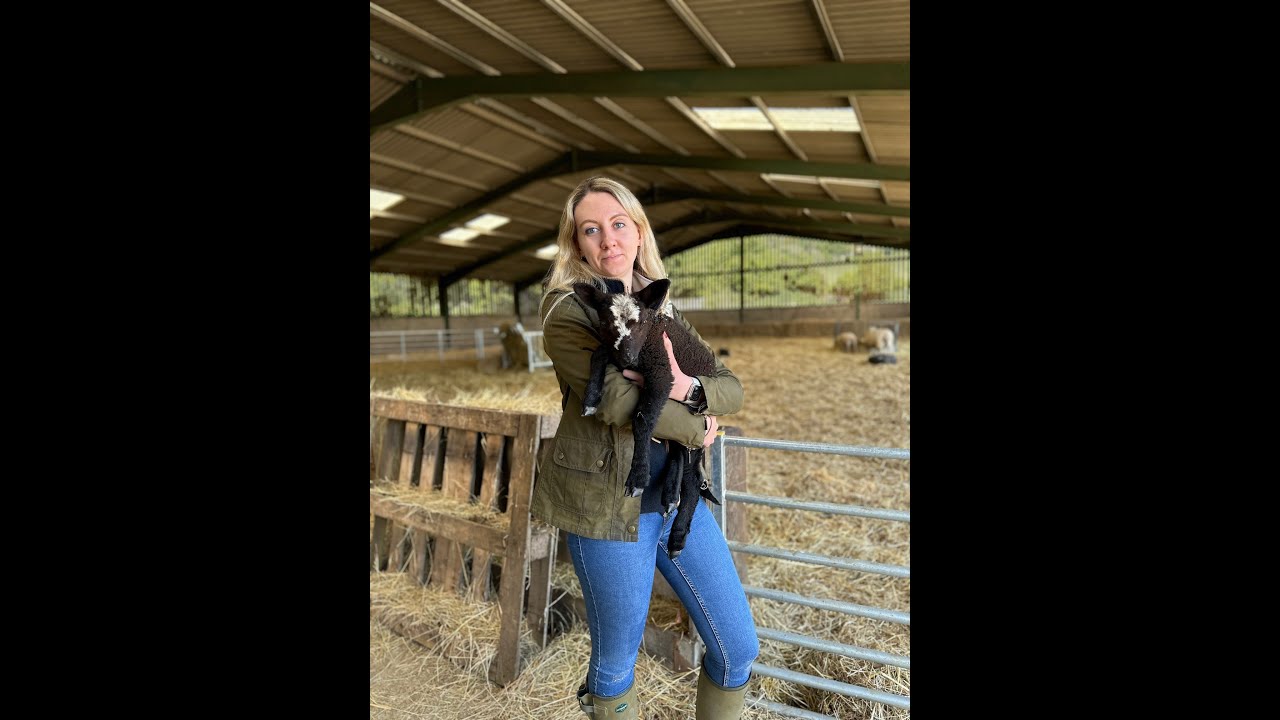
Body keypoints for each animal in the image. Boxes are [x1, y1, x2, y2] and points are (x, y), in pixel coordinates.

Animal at [572, 279, 721, 559]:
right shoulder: (614, 351)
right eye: (606, 323)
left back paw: (677, 539)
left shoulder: (662, 372)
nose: (627, 358)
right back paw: (670, 496)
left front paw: (638, 478)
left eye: (640, 323)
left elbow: (642, 420)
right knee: (678, 454)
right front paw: (591, 398)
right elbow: (598, 353)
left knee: (693, 479)